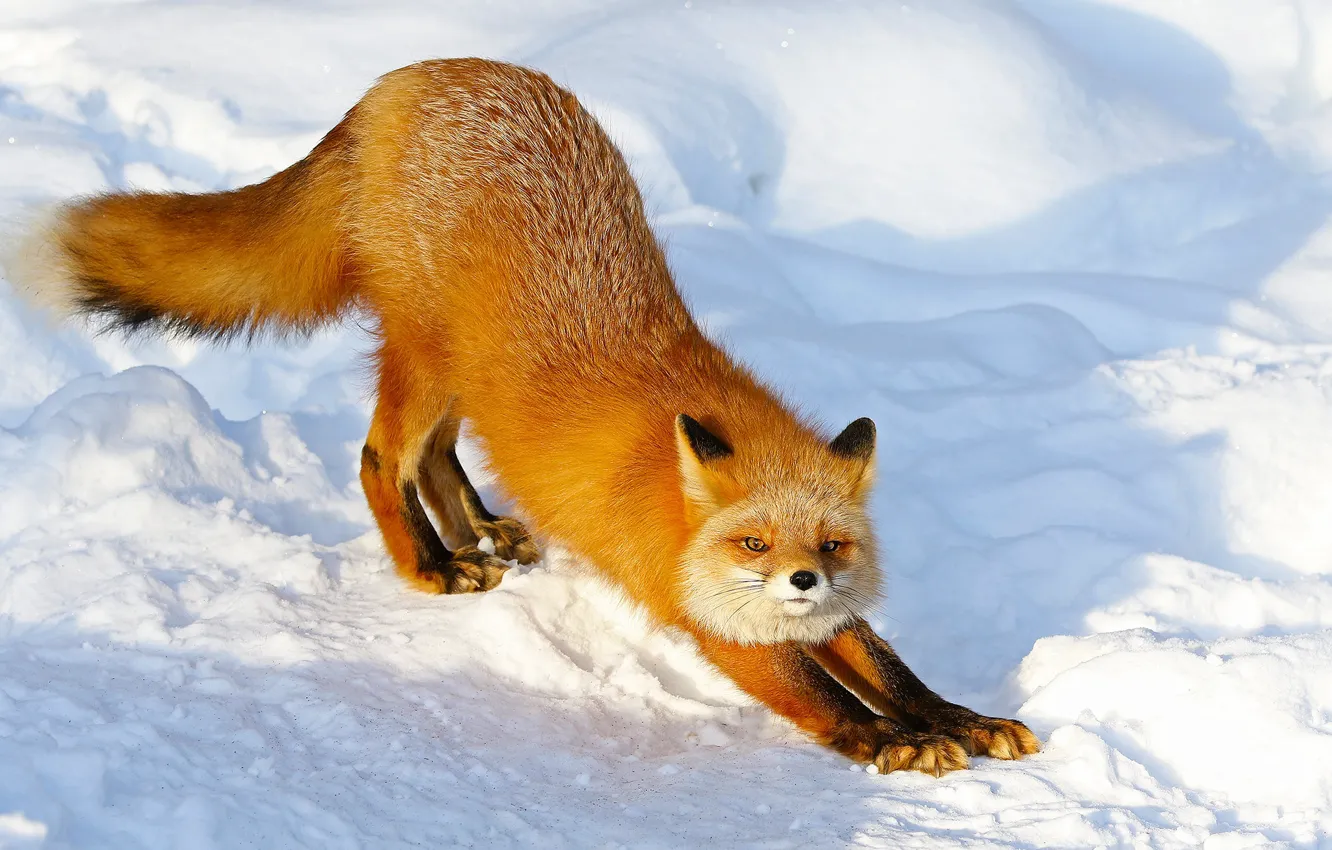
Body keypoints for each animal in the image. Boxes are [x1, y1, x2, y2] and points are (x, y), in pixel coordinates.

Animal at [6, 58, 1038, 775]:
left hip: (466, 375)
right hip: (425, 360)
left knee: (436, 456)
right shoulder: (708, 617)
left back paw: (480, 533)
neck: (677, 499)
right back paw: (431, 566)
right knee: (379, 457)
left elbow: (891, 667)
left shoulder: (807, 611)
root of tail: (408, 79)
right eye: (755, 544)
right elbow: (823, 697)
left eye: (831, 546)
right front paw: (889, 743)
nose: (801, 581)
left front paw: (961, 719)